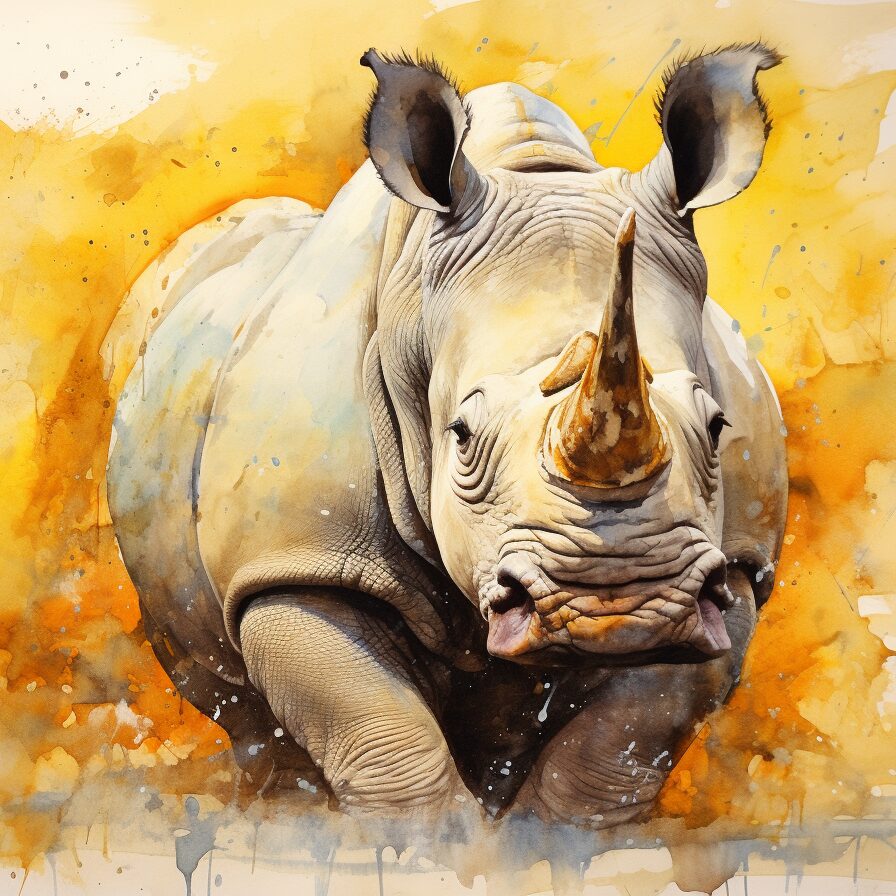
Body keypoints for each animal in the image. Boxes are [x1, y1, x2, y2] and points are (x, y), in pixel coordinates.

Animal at [106, 44, 787, 827]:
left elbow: (612, 757)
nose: (615, 602)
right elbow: (388, 747)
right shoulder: (293, 560)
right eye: (460, 434)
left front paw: (548, 841)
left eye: (716, 426)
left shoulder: (736, 567)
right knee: (240, 710)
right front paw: (431, 842)